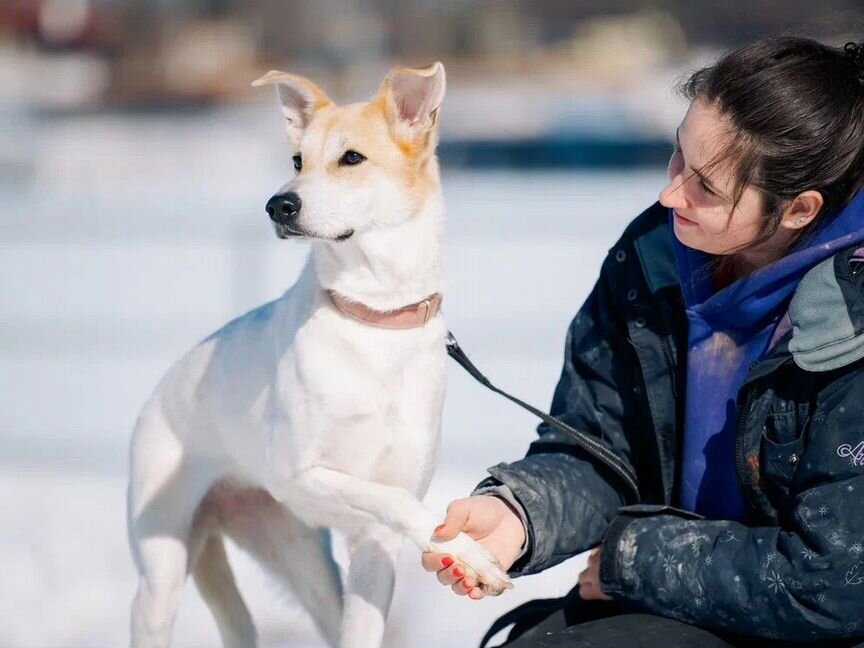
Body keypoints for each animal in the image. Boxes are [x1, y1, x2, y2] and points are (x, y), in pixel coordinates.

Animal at [125, 62, 510, 648]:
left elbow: (396, 520)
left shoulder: (374, 542)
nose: (278, 205)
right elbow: (400, 502)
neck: (374, 317)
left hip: (302, 558)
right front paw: (471, 554)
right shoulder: (300, 474)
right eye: (296, 161)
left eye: (351, 158)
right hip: (162, 574)